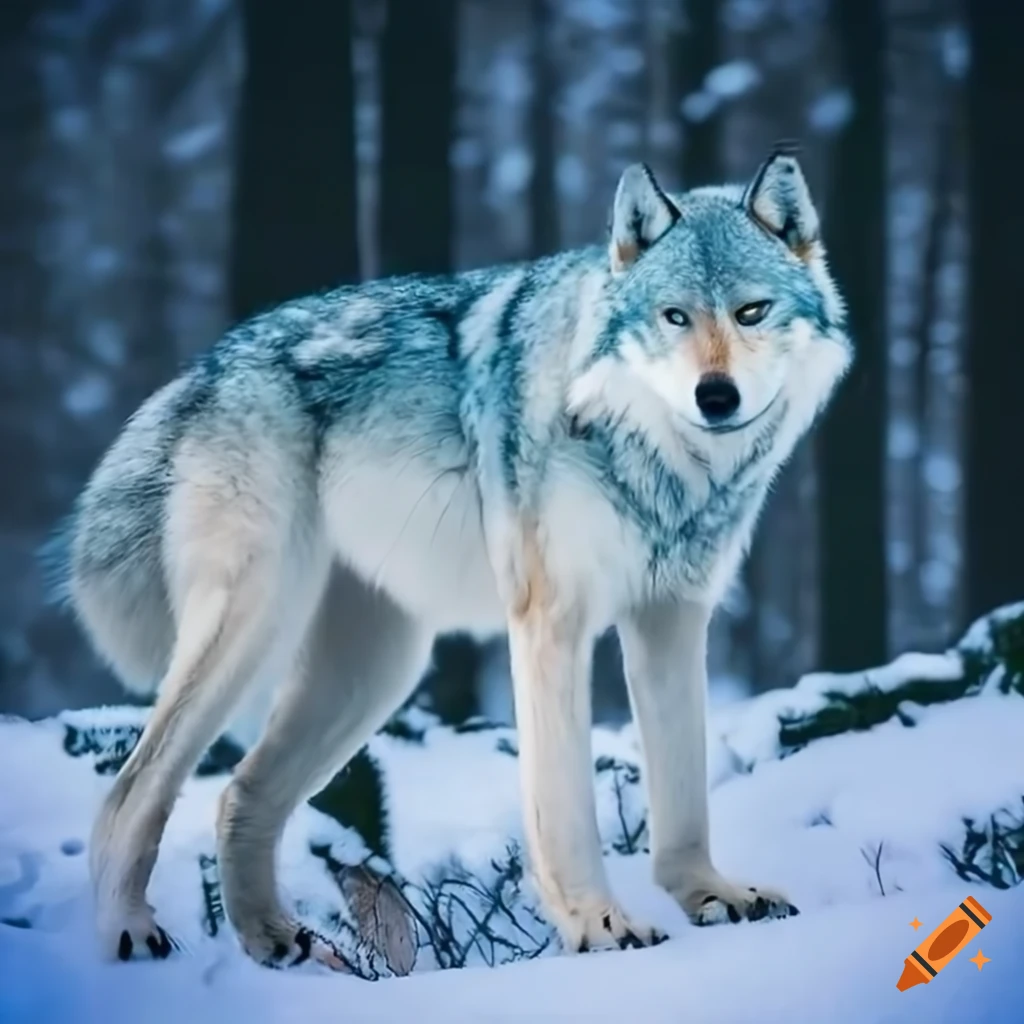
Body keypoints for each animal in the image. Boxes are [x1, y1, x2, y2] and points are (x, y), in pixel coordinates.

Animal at [56, 147, 850, 968]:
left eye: (751, 312)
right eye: (675, 317)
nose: (715, 396)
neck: (656, 461)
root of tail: (206, 365)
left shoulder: (672, 621)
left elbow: (685, 798)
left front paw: (712, 895)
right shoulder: (553, 623)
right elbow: (564, 805)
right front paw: (597, 924)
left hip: (375, 674)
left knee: (238, 792)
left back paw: (281, 945)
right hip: (256, 629)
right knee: (131, 793)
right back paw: (132, 931)